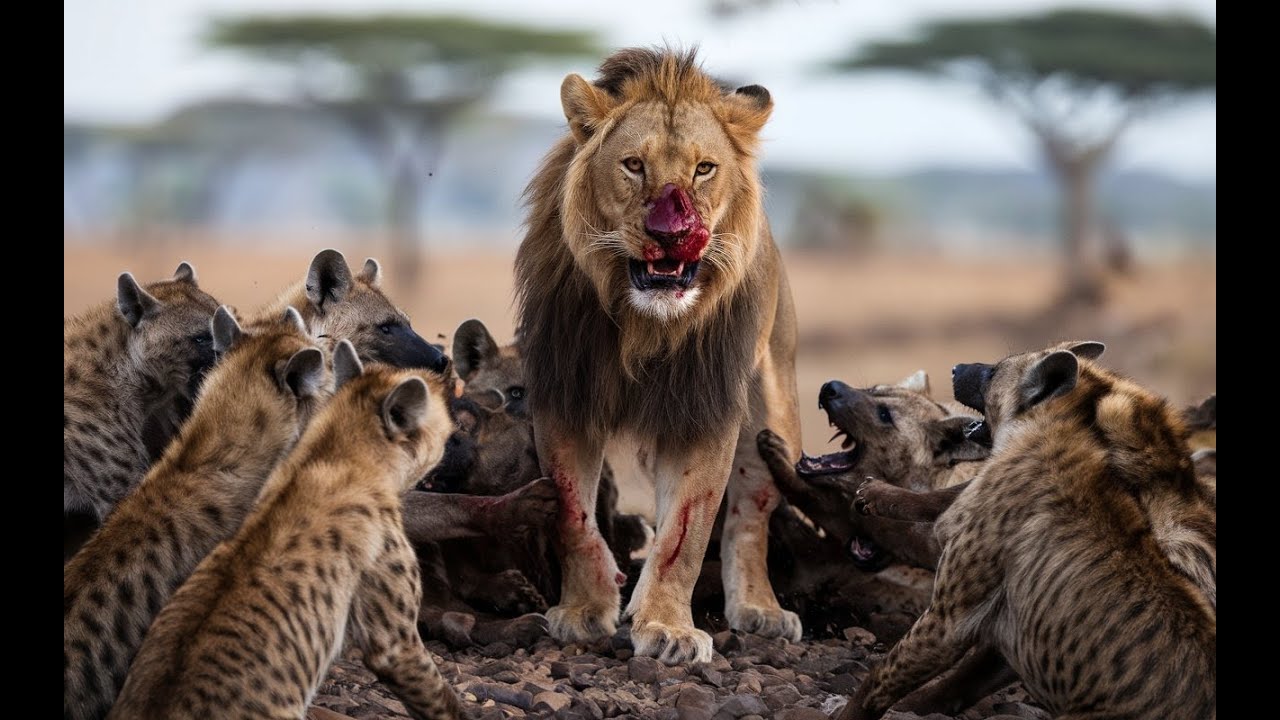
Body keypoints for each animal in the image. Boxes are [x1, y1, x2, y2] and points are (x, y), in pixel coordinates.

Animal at [513, 46, 802, 664]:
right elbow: (572, 514)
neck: (643, 326)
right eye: (633, 166)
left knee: (752, 517)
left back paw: (761, 610)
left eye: (703, 169)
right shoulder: (565, 396)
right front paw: (584, 609)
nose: (671, 234)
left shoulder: (703, 406)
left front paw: (666, 627)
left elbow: (685, 534)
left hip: (778, 408)